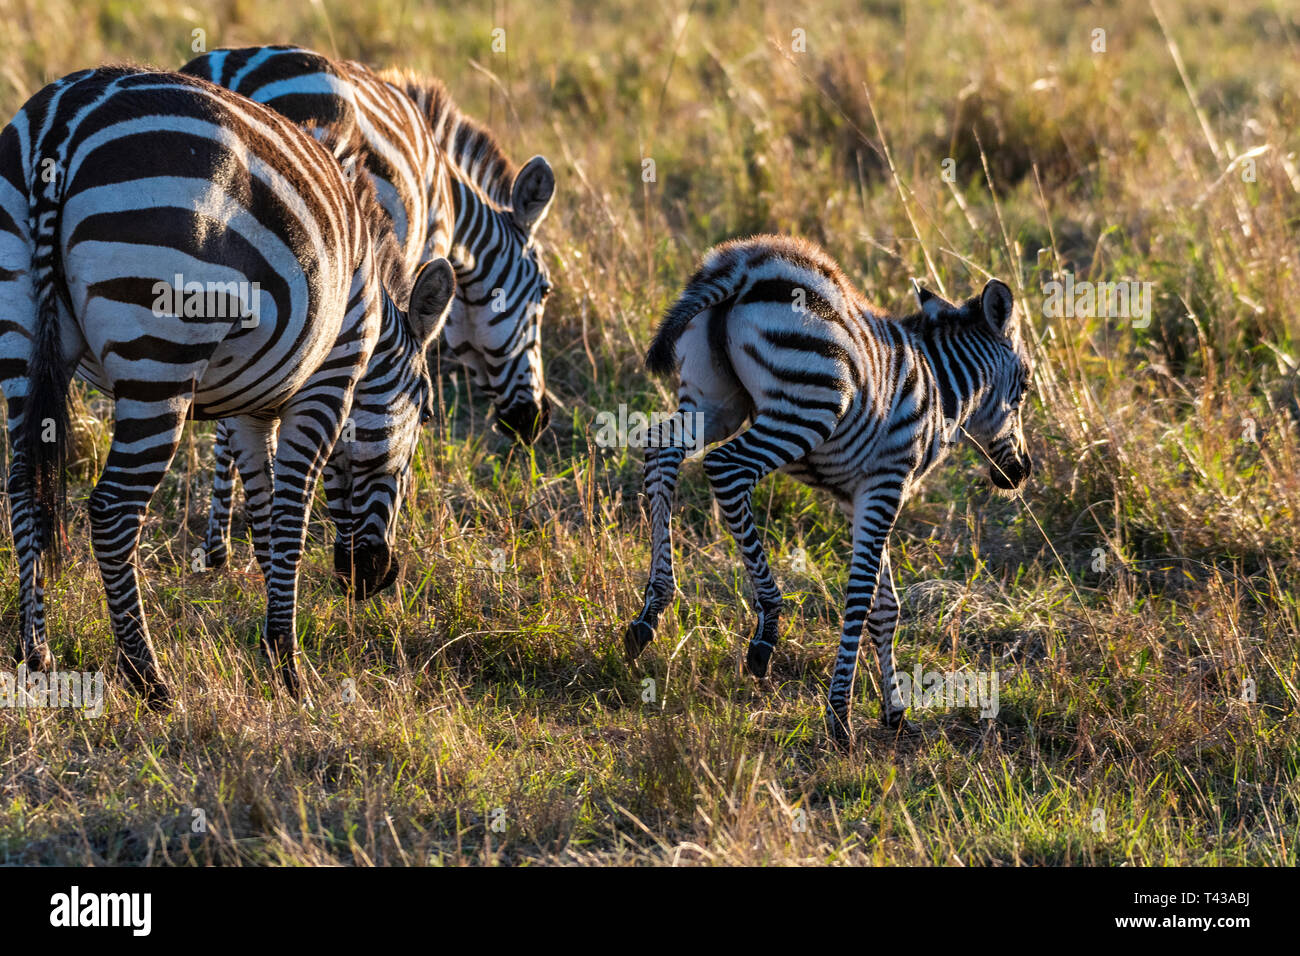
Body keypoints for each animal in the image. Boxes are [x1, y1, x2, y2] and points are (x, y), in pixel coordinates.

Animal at [0, 67, 455, 704]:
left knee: (22, 488)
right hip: (160, 351)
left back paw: (36, 656)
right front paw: (290, 670)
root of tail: (64, 120)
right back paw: (148, 679)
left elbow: (264, 520)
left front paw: (271, 645)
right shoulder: (328, 384)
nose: (372, 578)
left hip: (20, 335)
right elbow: (289, 519)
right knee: (113, 509)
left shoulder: (250, 405)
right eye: (427, 413)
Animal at [180, 46, 557, 575]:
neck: (452, 201)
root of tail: (227, 71)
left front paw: (221, 541)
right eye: (543, 292)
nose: (533, 422)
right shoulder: (413, 271)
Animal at [622, 236, 1032, 747]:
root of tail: (744, 264)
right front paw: (840, 716)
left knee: (661, 452)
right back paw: (767, 625)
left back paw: (651, 611)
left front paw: (895, 713)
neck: (941, 388)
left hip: (713, 401)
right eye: (1026, 386)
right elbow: (861, 597)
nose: (1020, 473)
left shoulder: (861, 495)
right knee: (725, 468)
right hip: (805, 407)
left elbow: (885, 607)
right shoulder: (887, 483)